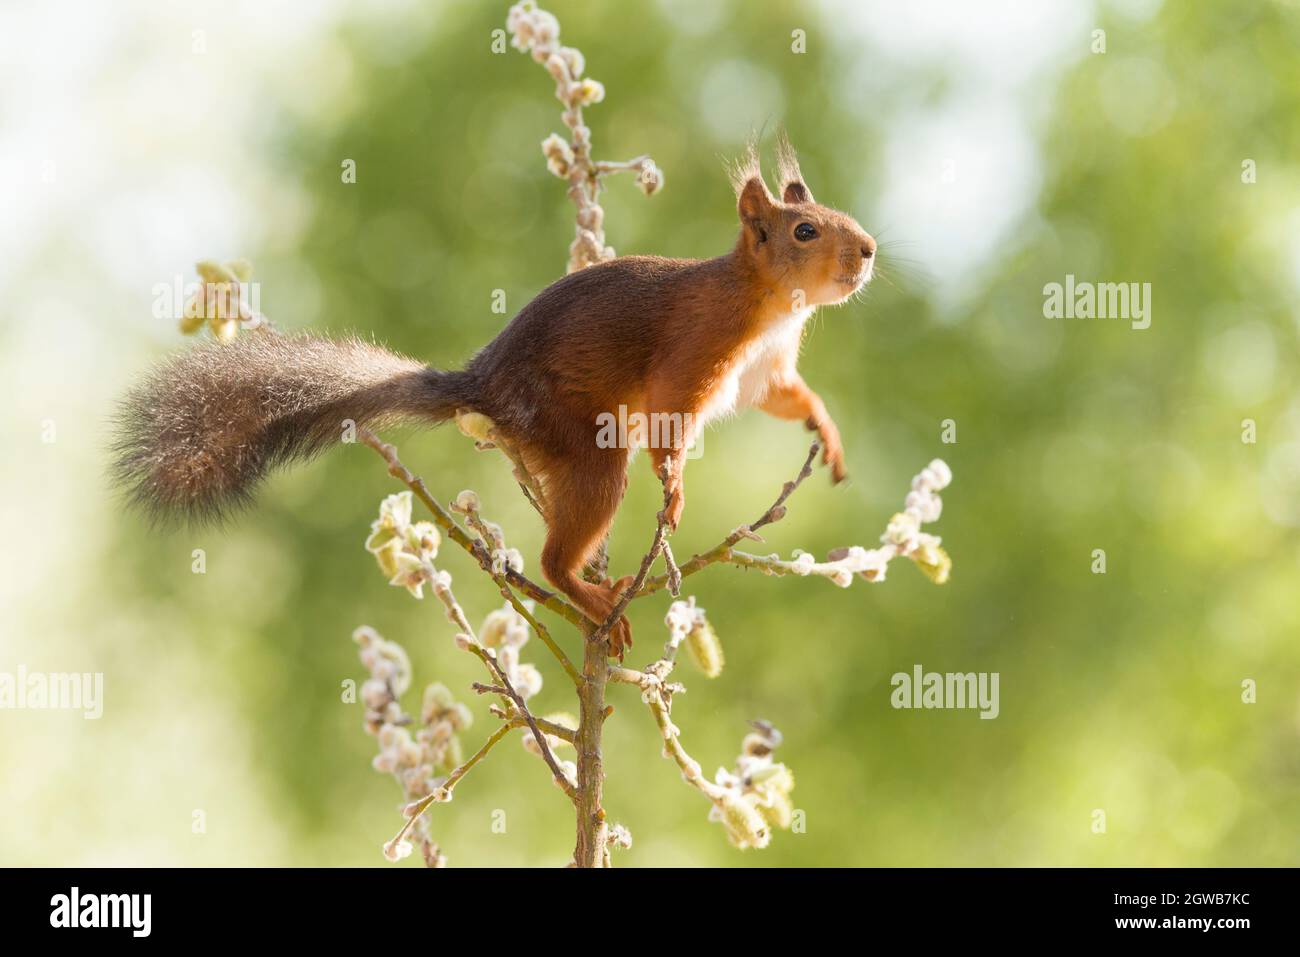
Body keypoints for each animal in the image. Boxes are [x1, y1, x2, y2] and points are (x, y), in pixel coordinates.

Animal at [113, 139, 876, 658]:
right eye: (806, 230)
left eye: (837, 213)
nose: (868, 249)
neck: (769, 306)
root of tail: (483, 388)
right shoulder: (695, 351)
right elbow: (670, 418)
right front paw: (676, 488)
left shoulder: (765, 369)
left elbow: (787, 397)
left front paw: (829, 433)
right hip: (583, 445)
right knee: (554, 554)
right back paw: (591, 594)